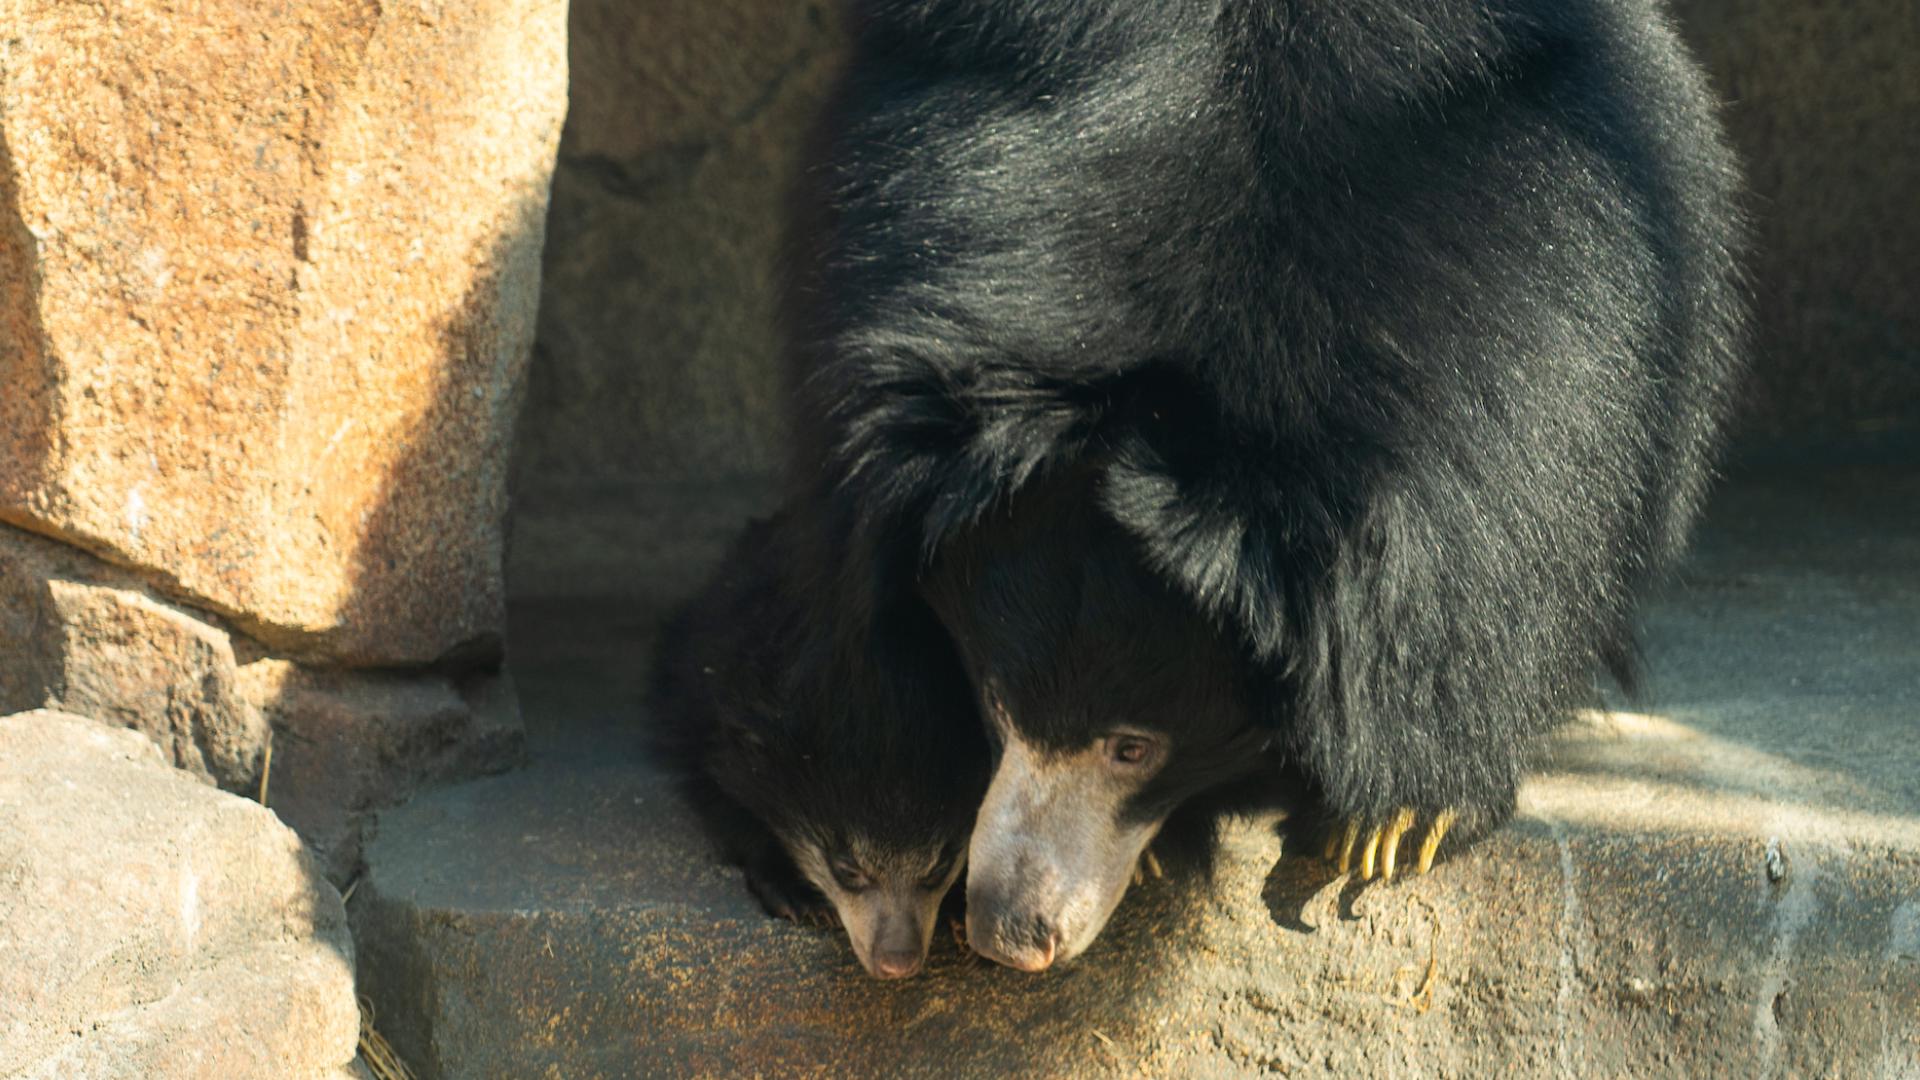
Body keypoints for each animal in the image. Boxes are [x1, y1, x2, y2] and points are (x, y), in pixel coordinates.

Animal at [646, 510, 989, 978]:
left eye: (940, 862)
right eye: (846, 867)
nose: (897, 962)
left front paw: (962, 912)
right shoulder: (711, 698)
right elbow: (719, 793)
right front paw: (800, 897)